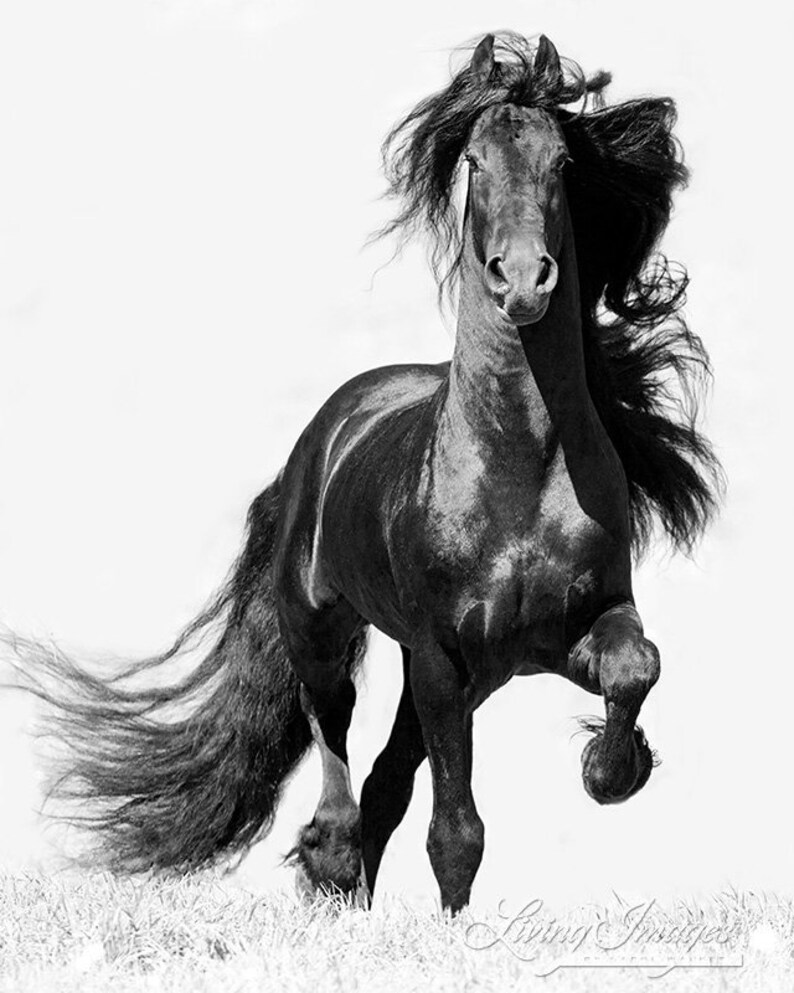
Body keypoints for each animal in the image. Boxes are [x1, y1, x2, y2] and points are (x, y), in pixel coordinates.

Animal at [6, 32, 721, 913]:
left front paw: (610, 768)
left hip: (457, 674)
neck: (517, 470)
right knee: (338, 741)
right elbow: (456, 831)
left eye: (561, 163)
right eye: (475, 161)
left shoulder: (578, 625)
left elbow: (635, 665)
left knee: (383, 779)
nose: (522, 279)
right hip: (325, 633)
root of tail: (319, 438)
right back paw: (332, 854)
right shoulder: (442, 655)